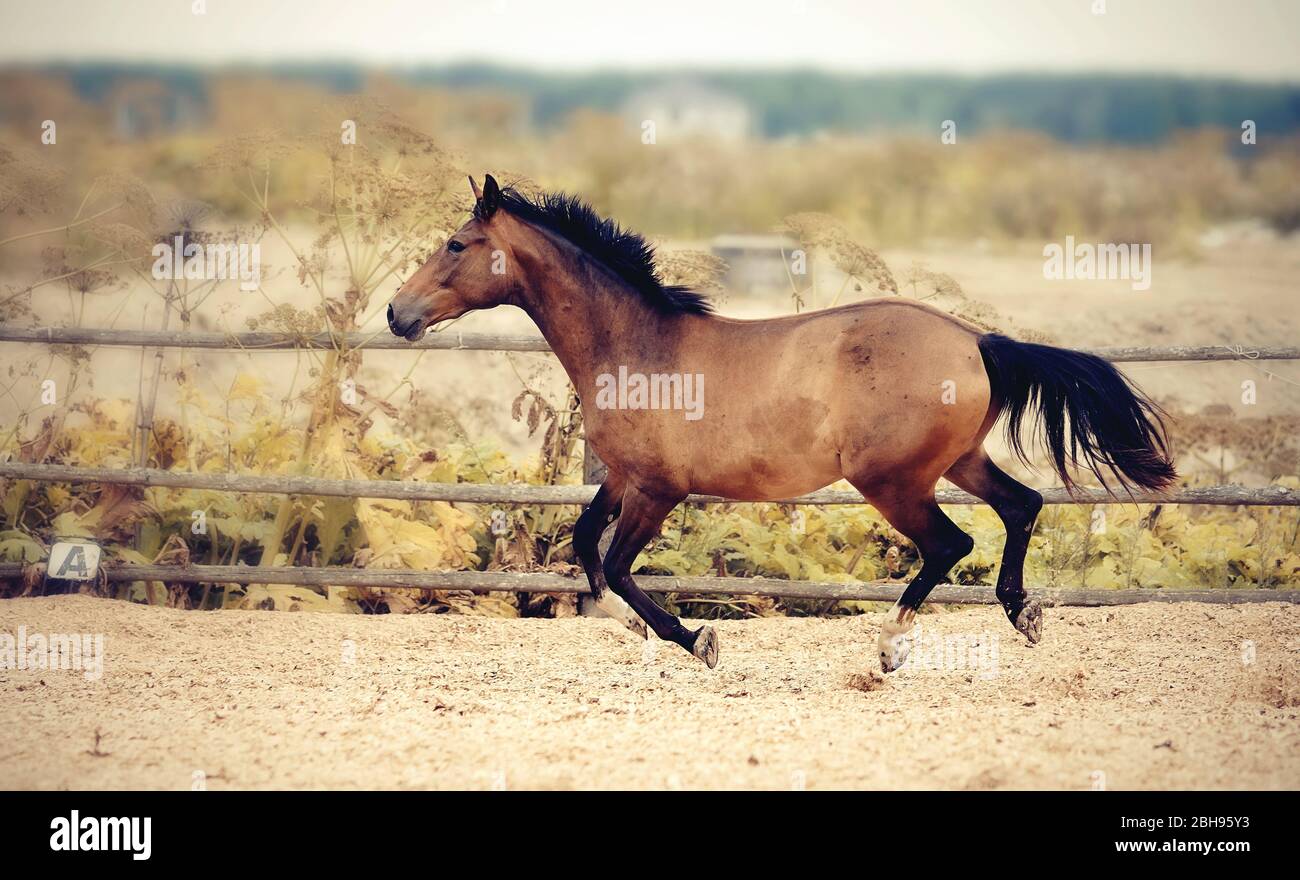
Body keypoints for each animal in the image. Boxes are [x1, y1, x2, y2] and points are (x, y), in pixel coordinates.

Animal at [387, 174, 1176, 672]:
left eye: (456, 245)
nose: (398, 314)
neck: (638, 347)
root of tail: (974, 340)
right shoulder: (623, 478)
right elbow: (586, 550)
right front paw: (633, 629)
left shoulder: (658, 490)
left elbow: (617, 565)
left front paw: (698, 641)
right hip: (956, 462)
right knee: (1022, 505)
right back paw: (1024, 615)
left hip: (892, 481)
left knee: (951, 543)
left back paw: (890, 647)